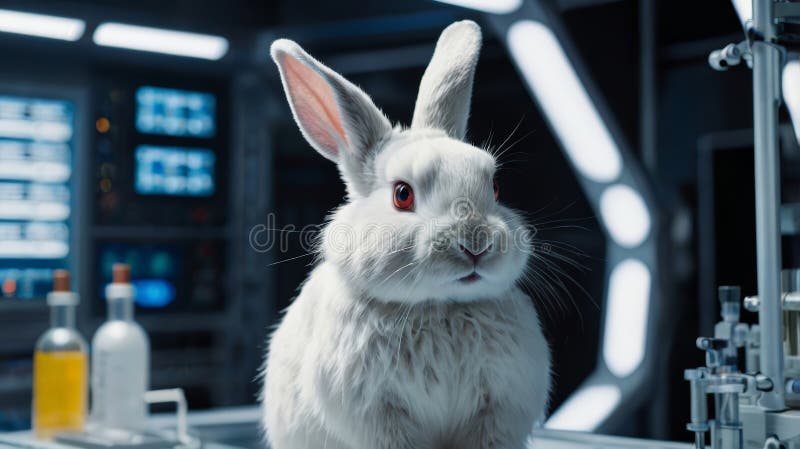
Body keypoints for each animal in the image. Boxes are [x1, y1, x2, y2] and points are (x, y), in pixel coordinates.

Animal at [262, 20, 551, 449]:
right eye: (402, 195)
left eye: (495, 188)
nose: (476, 243)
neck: (438, 306)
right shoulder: (379, 416)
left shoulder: (497, 409)